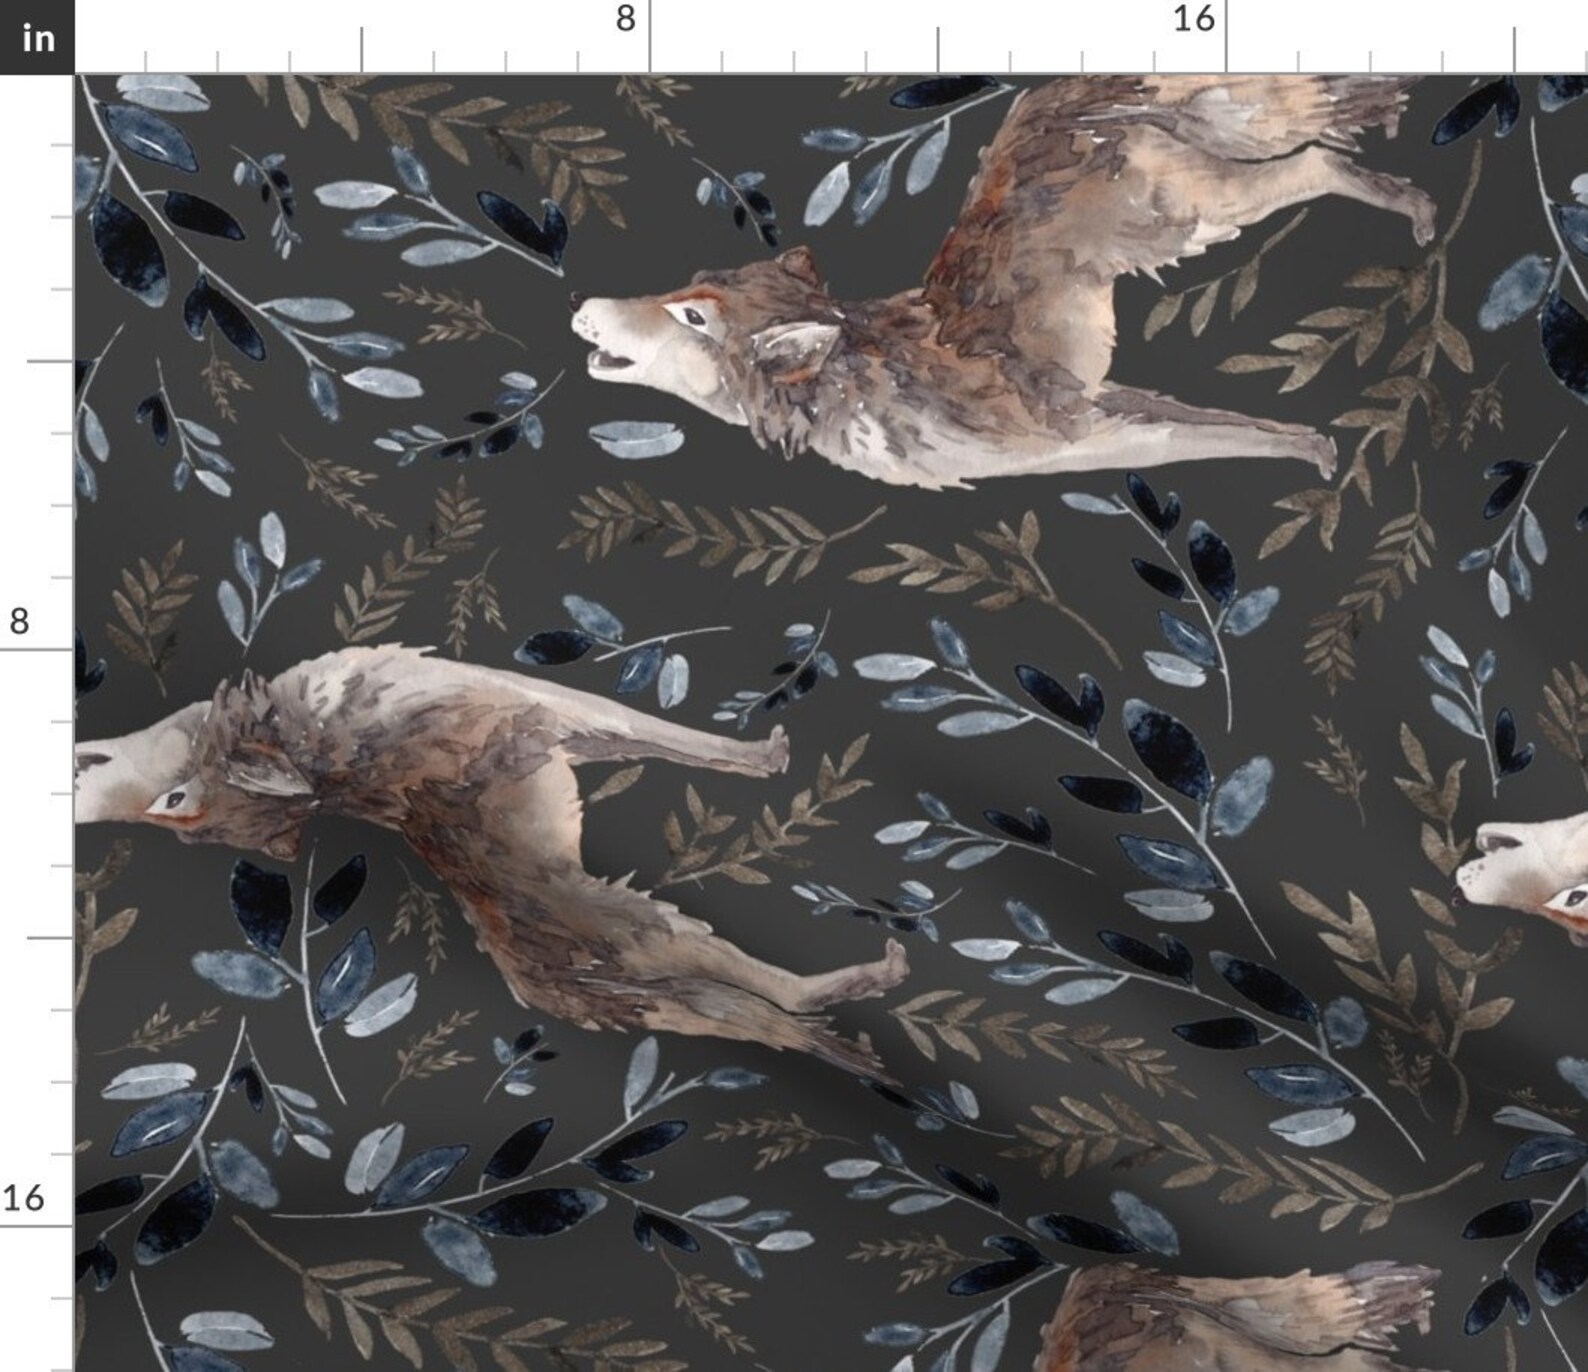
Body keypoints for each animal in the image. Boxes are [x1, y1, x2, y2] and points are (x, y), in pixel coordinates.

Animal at [74, 646, 909, 1075]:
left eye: (175, 805)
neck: (307, 746)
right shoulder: (547, 700)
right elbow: (676, 739)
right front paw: (764, 753)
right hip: (664, 935)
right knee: (784, 994)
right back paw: (874, 978)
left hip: (665, 974)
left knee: (773, 1015)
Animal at [572, 76, 1435, 491]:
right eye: (689, 286)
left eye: (692, 318)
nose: (580, 303)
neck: (851, 380)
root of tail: (1059, 100)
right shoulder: (1091, 402)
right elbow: (1215, 421)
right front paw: (1314, 443)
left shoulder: (1070, 434)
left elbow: (1208, 434)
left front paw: (1310, 450)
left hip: (1194, 214)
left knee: (1315, 159)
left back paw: (1418, 208)